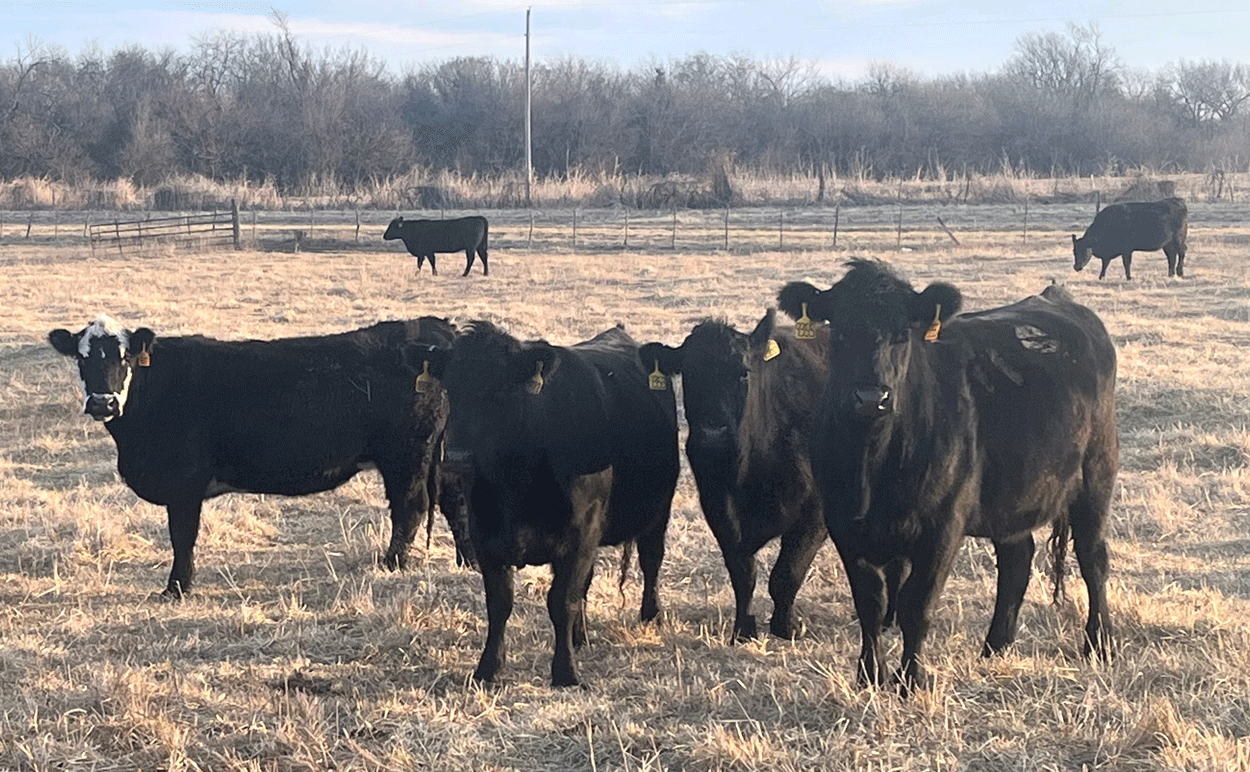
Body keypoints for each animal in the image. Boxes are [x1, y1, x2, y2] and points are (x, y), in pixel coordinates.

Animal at [47, 314, 457, 598]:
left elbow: (182, 536)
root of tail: (432, 330)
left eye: (125, 357)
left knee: (409, 508)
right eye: (83, 360)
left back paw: (392, 564)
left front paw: (176, 588)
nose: (102, 403)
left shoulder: (185, 483)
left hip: (407, 457)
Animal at [413, 321, 679, 687]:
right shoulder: (485, 536)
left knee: (651, 560)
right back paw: (580, 636)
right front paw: (488, 668)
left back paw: (651, 616)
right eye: (450, 389)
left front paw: (565, 672)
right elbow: (500, 603)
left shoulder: (580, 535)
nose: (456, 457)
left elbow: (561, 602)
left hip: (657, 511)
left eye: (503, 391)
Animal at [639, 311, 830, 642]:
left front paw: (785, 627)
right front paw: (743, 629)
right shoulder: (719, 508)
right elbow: (744, 574)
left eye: (743, 373)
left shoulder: (815, 514)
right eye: (688, 373)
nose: (713, 434)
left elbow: (787, 572)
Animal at [779, 260, 1118, 694]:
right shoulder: (844, 526)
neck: (871, 465)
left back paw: (1100, 643)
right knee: (1017, 559)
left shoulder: (942, 527)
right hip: (1013, 496)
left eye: (903, 333)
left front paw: (910, 680)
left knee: (1093, 557)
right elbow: (870, 604)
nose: (872, 398)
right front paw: (870, 676)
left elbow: (916, 605)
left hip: (1097, 473)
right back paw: (995, 646)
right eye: (838, 331)